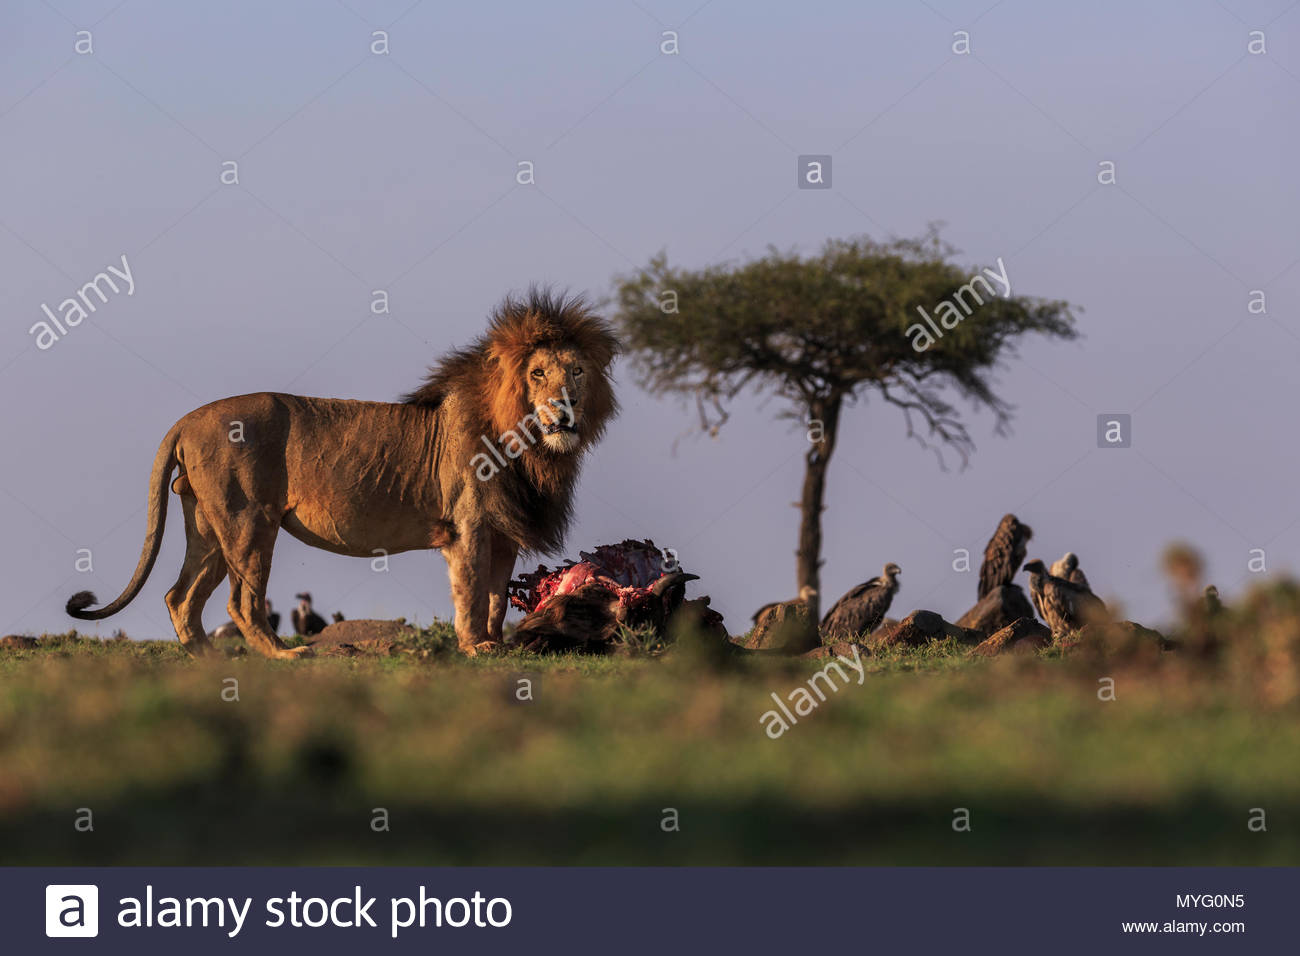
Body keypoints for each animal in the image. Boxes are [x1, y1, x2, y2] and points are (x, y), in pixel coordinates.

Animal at [67, 289, 620, 659]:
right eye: (537, 374)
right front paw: (474, 648)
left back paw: (206, 661)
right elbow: (469, 591)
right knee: (241, 601)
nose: (565, 408)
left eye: (577, 372)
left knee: (180, 597)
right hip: (249, 523)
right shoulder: (468, 526)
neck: (532, 448)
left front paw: (494, 643)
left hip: (207, 525)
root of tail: (186, 420)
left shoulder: (504, 533)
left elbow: (495, 597)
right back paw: (286, 655)